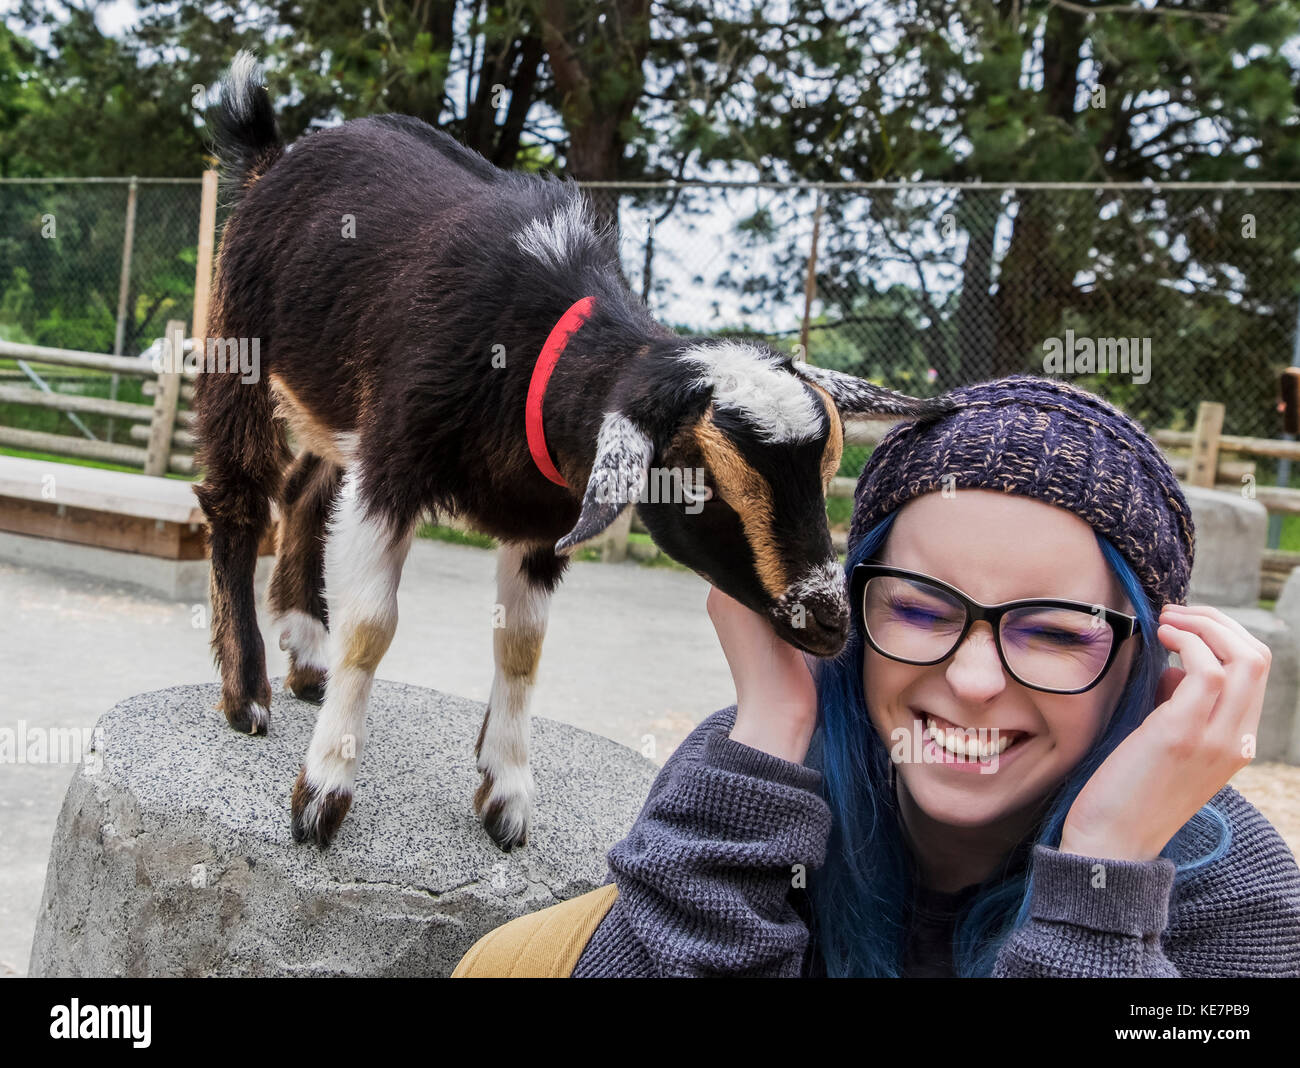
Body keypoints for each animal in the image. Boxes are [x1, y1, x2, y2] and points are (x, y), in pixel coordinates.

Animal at [194, 52, 955, 851]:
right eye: (703, 486)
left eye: (828, 471)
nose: (832, 621)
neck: (524, 348)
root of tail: (273, 154)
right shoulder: (393, 470)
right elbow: (373, 628)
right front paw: (322, 795)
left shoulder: (542, 520)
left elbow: (523, 649)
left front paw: (505, 792)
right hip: (239, 345)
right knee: (239, 499)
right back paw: (247, 694)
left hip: (337, 407)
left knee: (305, 489)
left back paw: (308, 652)